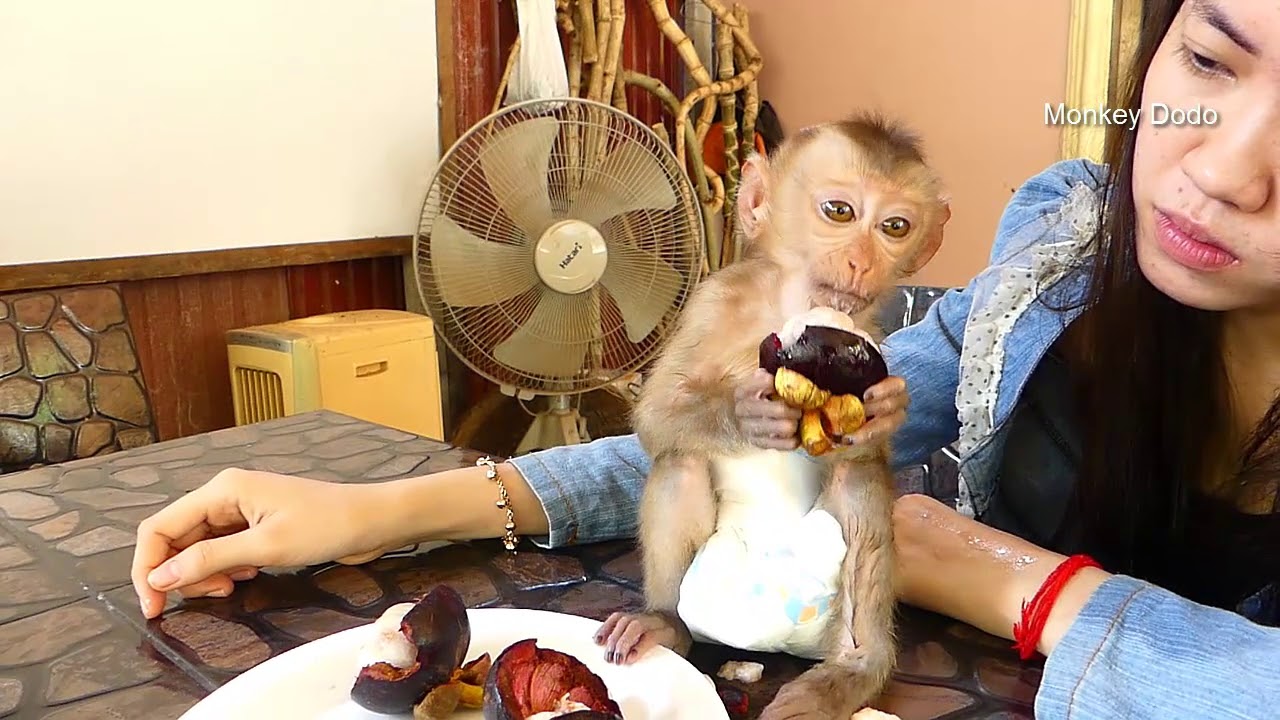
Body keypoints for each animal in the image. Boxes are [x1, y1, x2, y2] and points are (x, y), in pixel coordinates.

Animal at [593, 113, 950, 719]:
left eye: (895, 226)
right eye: (840, 212)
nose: (861, 261)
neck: (793, 304)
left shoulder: (869, 334)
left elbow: (866, 446)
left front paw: (886, 411)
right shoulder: (714, 300)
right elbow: (658, 413)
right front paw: (748, 418)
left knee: (858, 479)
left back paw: (855, 666)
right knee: (681, 459)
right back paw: (663, 625)